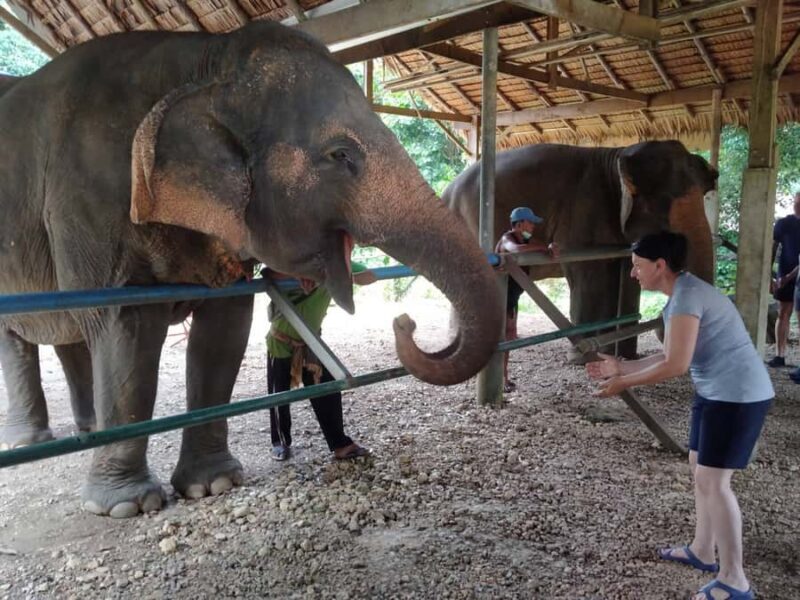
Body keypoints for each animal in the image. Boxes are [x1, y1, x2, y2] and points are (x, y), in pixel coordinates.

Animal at [0, 22, 503, 518]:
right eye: (340, 154)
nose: (405, 322)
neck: (204, 62)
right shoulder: (88, 198)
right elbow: (124, 323)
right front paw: (128, 505)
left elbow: (225, 326)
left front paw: (213, 484)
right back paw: (31, 443)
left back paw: (84, 433)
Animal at [443, 141, 718, 357]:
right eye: (662, 208)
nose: (664, 327)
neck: (617, 156)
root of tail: (447, 191)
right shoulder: (584, 209)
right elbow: (588, 274)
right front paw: (583, 356)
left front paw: (622, 355)